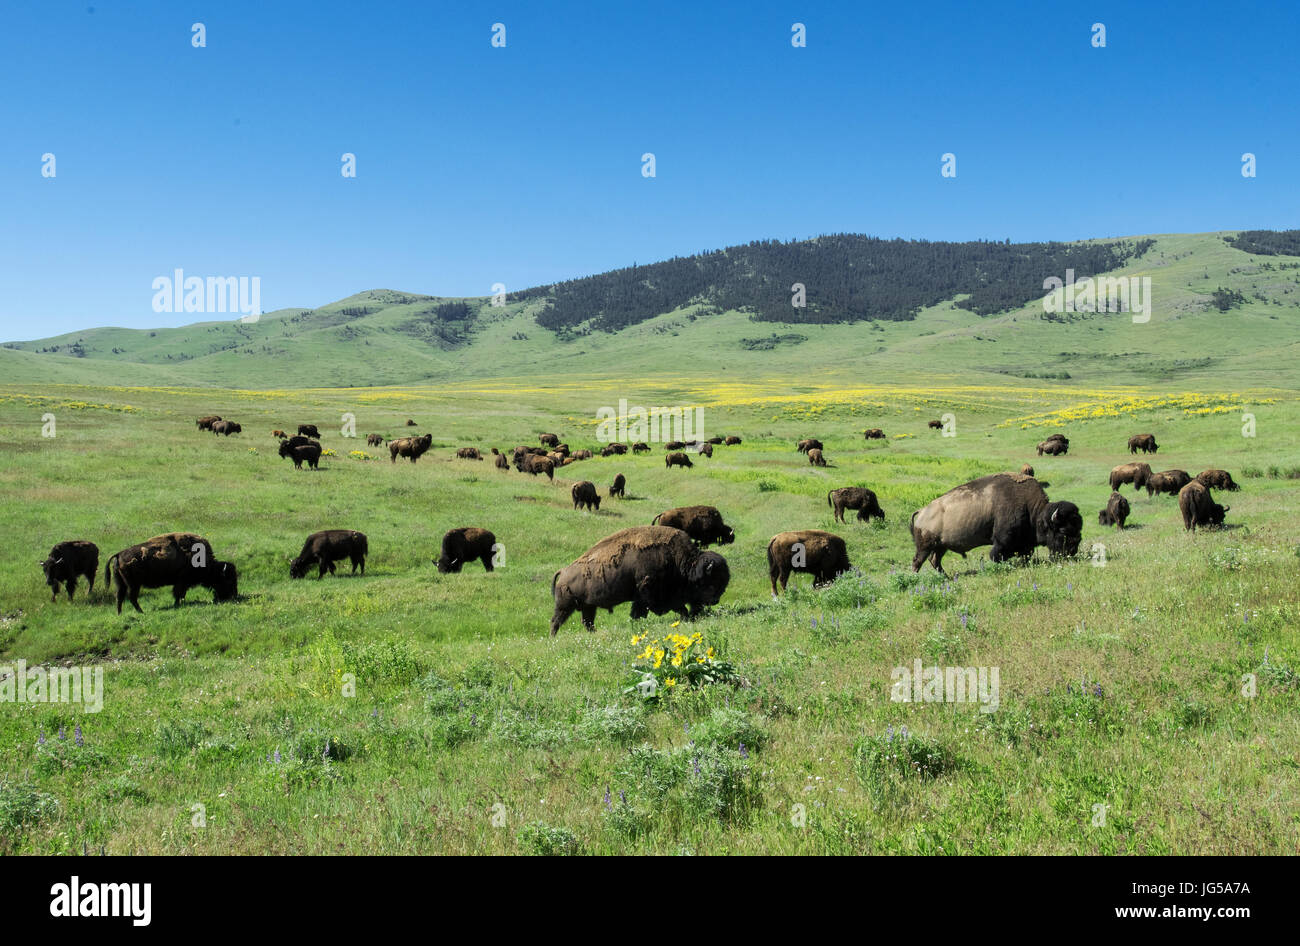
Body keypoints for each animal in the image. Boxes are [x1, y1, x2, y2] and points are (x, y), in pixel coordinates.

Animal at [106, 533, 237, 614]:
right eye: (228, 580)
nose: (234, 596)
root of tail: (118, 554)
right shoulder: (182, 582)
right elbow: (179, 593)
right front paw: (177, 604)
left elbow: (180, 594)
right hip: (134, 585)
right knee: (132, 597)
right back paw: (141, 612)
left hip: (121, 584)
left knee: (120, 596)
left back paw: (120, 613)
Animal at [549, 526, 729, 634]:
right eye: (709, 582)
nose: (715, 600)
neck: (682, 562)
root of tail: (563, 571)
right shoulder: (647, 594)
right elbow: (642, 611)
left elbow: (678, 608)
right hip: (565, 606)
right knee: (556, 621)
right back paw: (553, 638)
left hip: (588, 606)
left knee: (587, 621)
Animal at [909, 473, 1082, 574]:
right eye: (1063, 531)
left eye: (1079, 527)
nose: (1073, 549)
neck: (1034, 511)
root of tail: (921, 511)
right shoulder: (1002, 541)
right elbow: (996, 555)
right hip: (925, 547)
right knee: (918, 561)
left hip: (941, 546)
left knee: (934, 560)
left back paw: (946, 577)